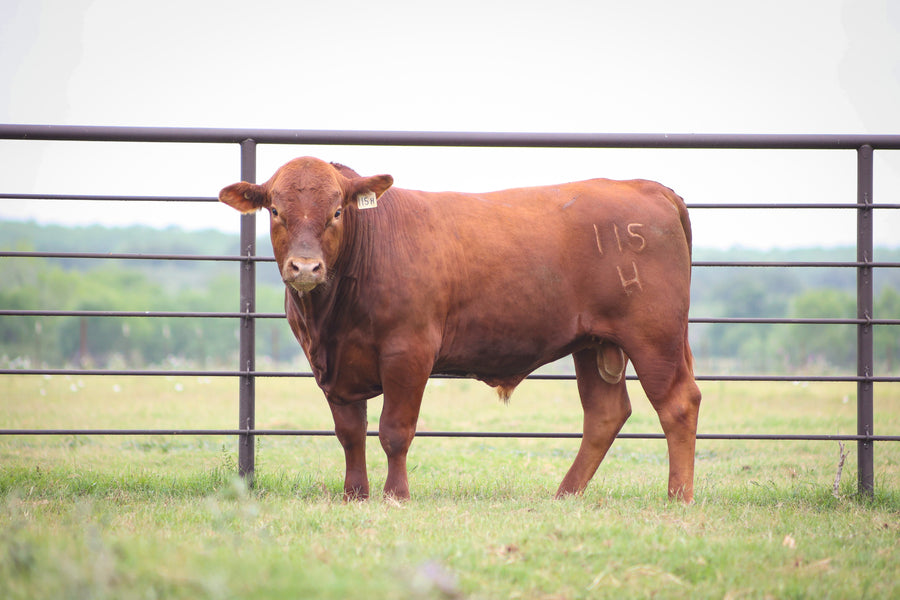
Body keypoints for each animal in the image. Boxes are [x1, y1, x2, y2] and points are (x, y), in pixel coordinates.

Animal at [219, 157, 701, 502]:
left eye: (337, 211)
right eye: (276, 210)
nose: (305, 267)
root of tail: (644, 186)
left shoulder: (409, 351)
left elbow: (394, 430)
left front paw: (396, 495)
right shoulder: (332, 366)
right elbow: (350, 433)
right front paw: (354, 495)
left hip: (654, 334)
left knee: (678, 403)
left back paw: (678, 496)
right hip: (594, 344)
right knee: (604, 414)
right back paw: (566, 494)